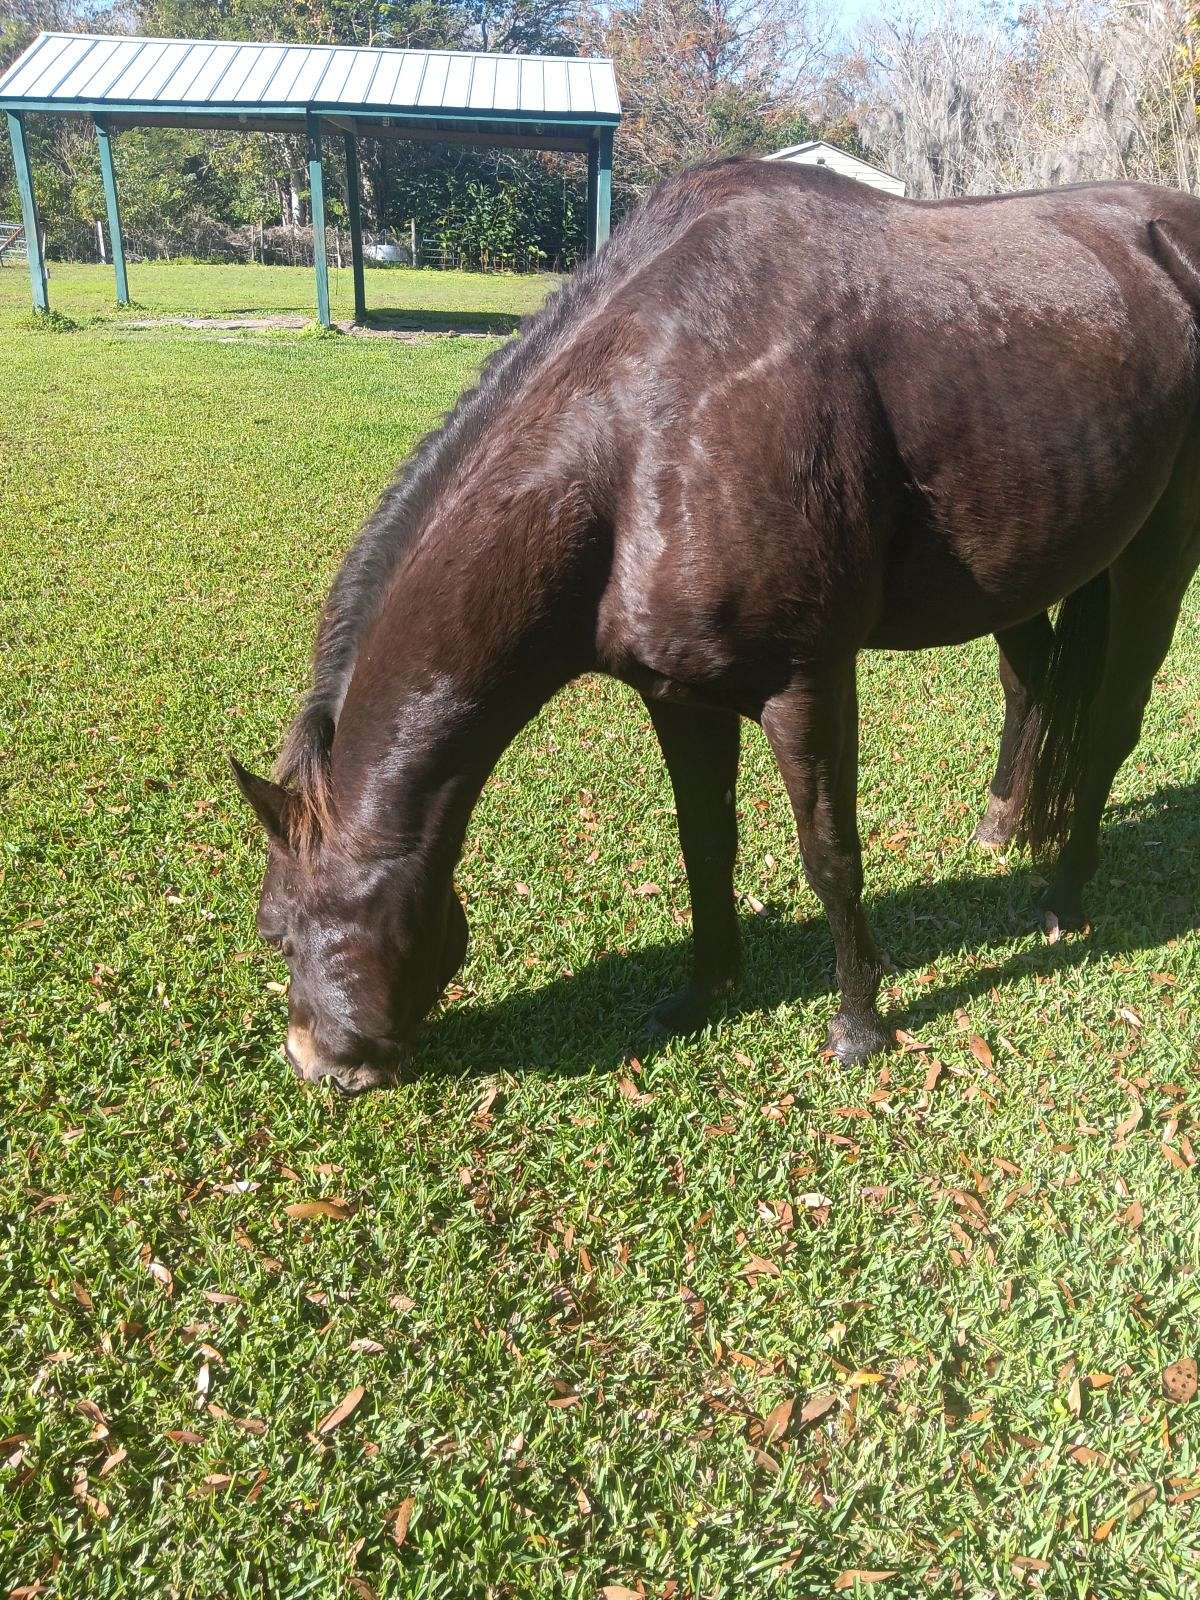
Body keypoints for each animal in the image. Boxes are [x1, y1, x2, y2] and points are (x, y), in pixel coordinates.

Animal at [232, 157, 1200, 1095]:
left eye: (285, 930)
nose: (318, 1065)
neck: (643, 435)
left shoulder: (806, 683)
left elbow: (830, 856)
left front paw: (859, 1025)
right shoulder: (679, 696)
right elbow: (705, 844)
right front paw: (704, 992)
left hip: (1157, 554)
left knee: (1111, 725)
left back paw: (1065, 892)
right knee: (1029, 682)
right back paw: (1003, 826)